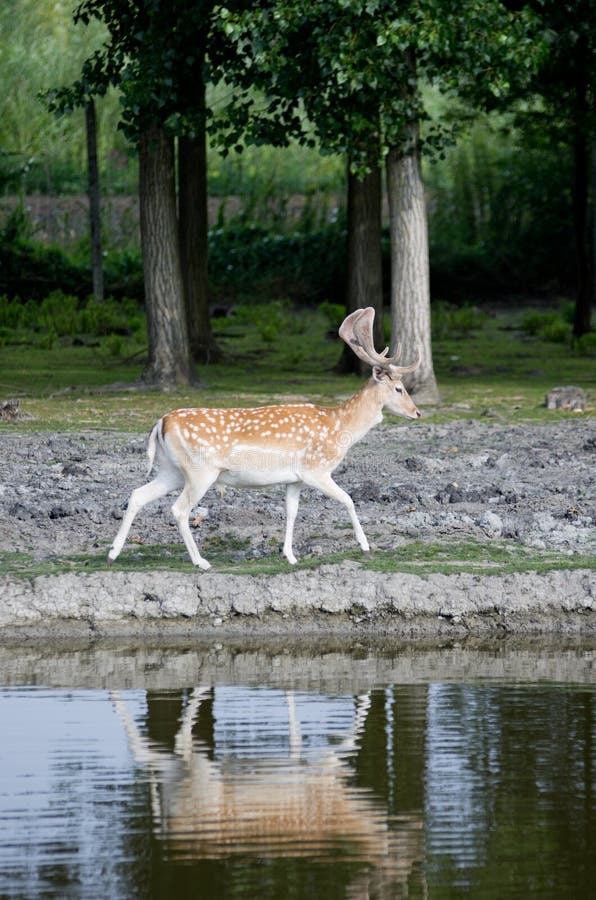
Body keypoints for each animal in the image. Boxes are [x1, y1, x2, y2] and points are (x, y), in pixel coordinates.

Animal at [108, 306, 421, 570]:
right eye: (399, 388)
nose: (417, 412)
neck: (338, 426)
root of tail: (162, 422)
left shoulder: (295, 478)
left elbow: (292, 511)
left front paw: (290, 556)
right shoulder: (316, 469)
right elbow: (348, 499)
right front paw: (366, 546)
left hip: (171, 469)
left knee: (137, 495)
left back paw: (113, 552)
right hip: (200, 471)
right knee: (179, 509)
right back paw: (201, 562)